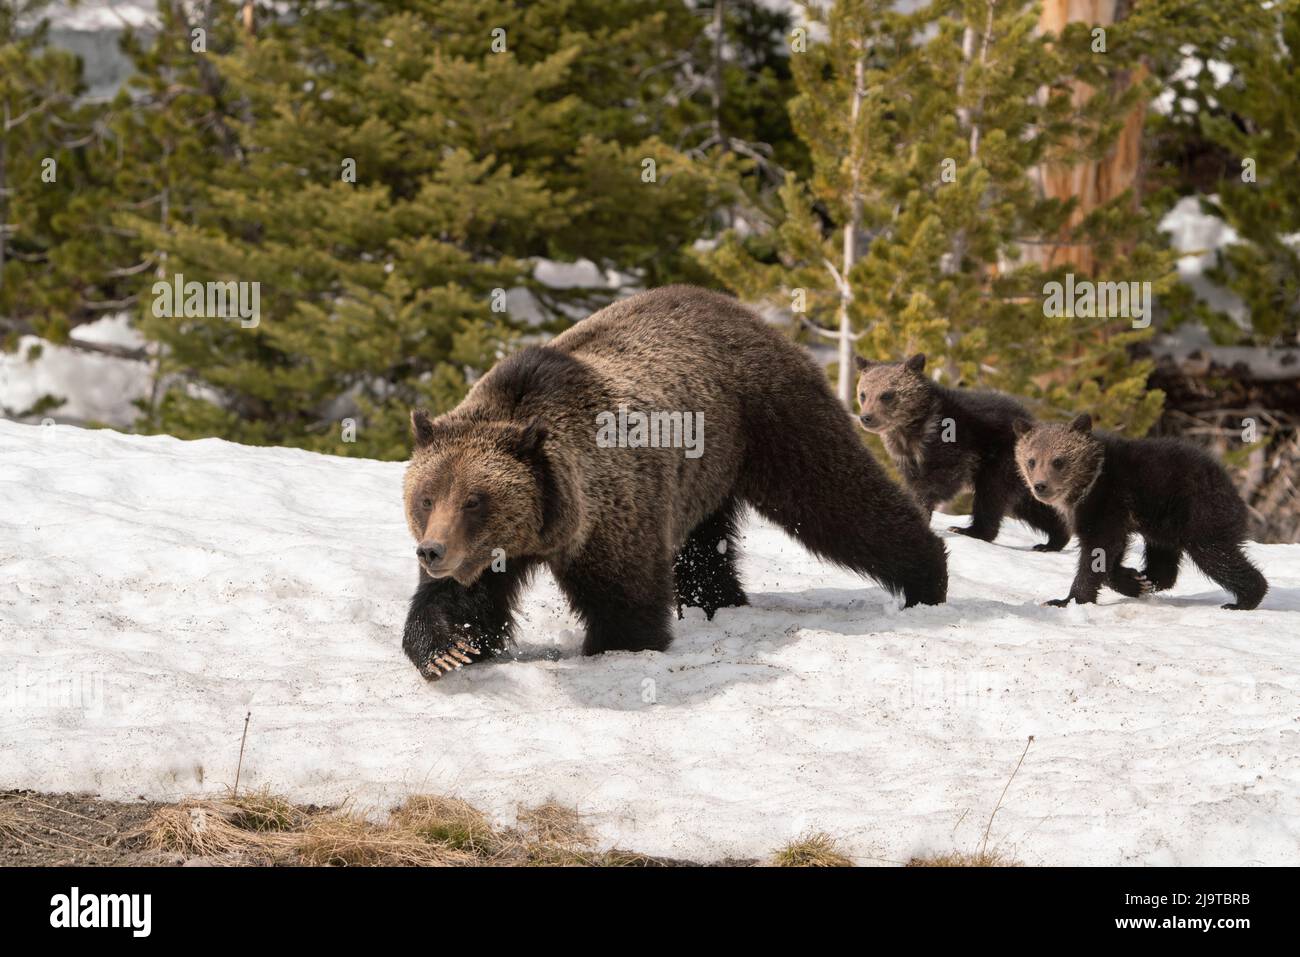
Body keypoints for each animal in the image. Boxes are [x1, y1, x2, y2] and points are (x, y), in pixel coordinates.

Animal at [401, 285, 949, 679]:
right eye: (426, 498)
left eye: (475, 500)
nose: (432, 550)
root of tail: (744, 312)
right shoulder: (498, 548)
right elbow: (461, 602)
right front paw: (448, 649)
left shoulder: (611, 512)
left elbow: (627, 602)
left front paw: (616, 649)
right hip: (704, 472)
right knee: (705, 550)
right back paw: (718, 603)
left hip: (772, 420)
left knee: (837, 499)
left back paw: (928, 577)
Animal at [854, 353, 1069, 551]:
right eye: (863, 394)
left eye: (886, 395)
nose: (866, 417)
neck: (911, 428)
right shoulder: (905, 455)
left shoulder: (952, 441)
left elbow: (941, 479)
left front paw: (920, 508)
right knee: (1029, 504)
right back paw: (1054, 540)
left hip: (1000, 459)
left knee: (991, 494)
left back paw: (971, 530)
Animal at [1013, 413, 1268, 610]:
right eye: (1031, 461)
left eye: (1058, 461)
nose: (1040, 486)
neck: (1088, 483)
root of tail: (1229, 483)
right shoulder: (1115, 511)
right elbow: (1110, 551)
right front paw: (1134, 579)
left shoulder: (1107, 499)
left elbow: (1098, 550)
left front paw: (1066, 600)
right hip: (1164, 519)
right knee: (1165, 556)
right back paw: (1150, 577)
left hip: (1199, 510)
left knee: (1215, 554)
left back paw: (1243, 600)